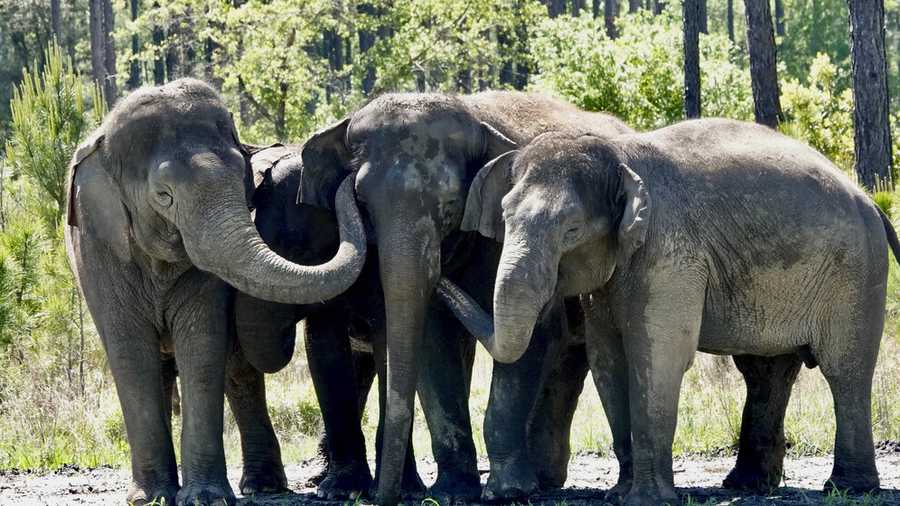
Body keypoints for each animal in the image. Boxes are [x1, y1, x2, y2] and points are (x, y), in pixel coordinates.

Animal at [64, 79, 367, 505]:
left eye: (244, 179)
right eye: (164, 196)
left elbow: (203, 344)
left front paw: (204, 498)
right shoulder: (98, 248)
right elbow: (129, 352)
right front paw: (150, 498)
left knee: (235, 372)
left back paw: (261, 486)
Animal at [298, 91, 633, 503]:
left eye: (450, 205)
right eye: (361, 201)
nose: (386, 497)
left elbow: (535, 334)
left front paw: (506, 492)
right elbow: (432, 342)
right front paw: (454, 492)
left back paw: (539, 479)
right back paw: (543, 477)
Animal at [439, 120, 900, 505]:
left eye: (571, 230)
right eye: (504, 217)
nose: (441, 281)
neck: (617, 155)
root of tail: (873, 205)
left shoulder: (668, 250)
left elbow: (657, 356)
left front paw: (645, 500)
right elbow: (608, 360)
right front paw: (620, 495)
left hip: (855, 276)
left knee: (844, 370)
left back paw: (849, 489)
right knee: (766, 371)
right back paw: (749, 485)